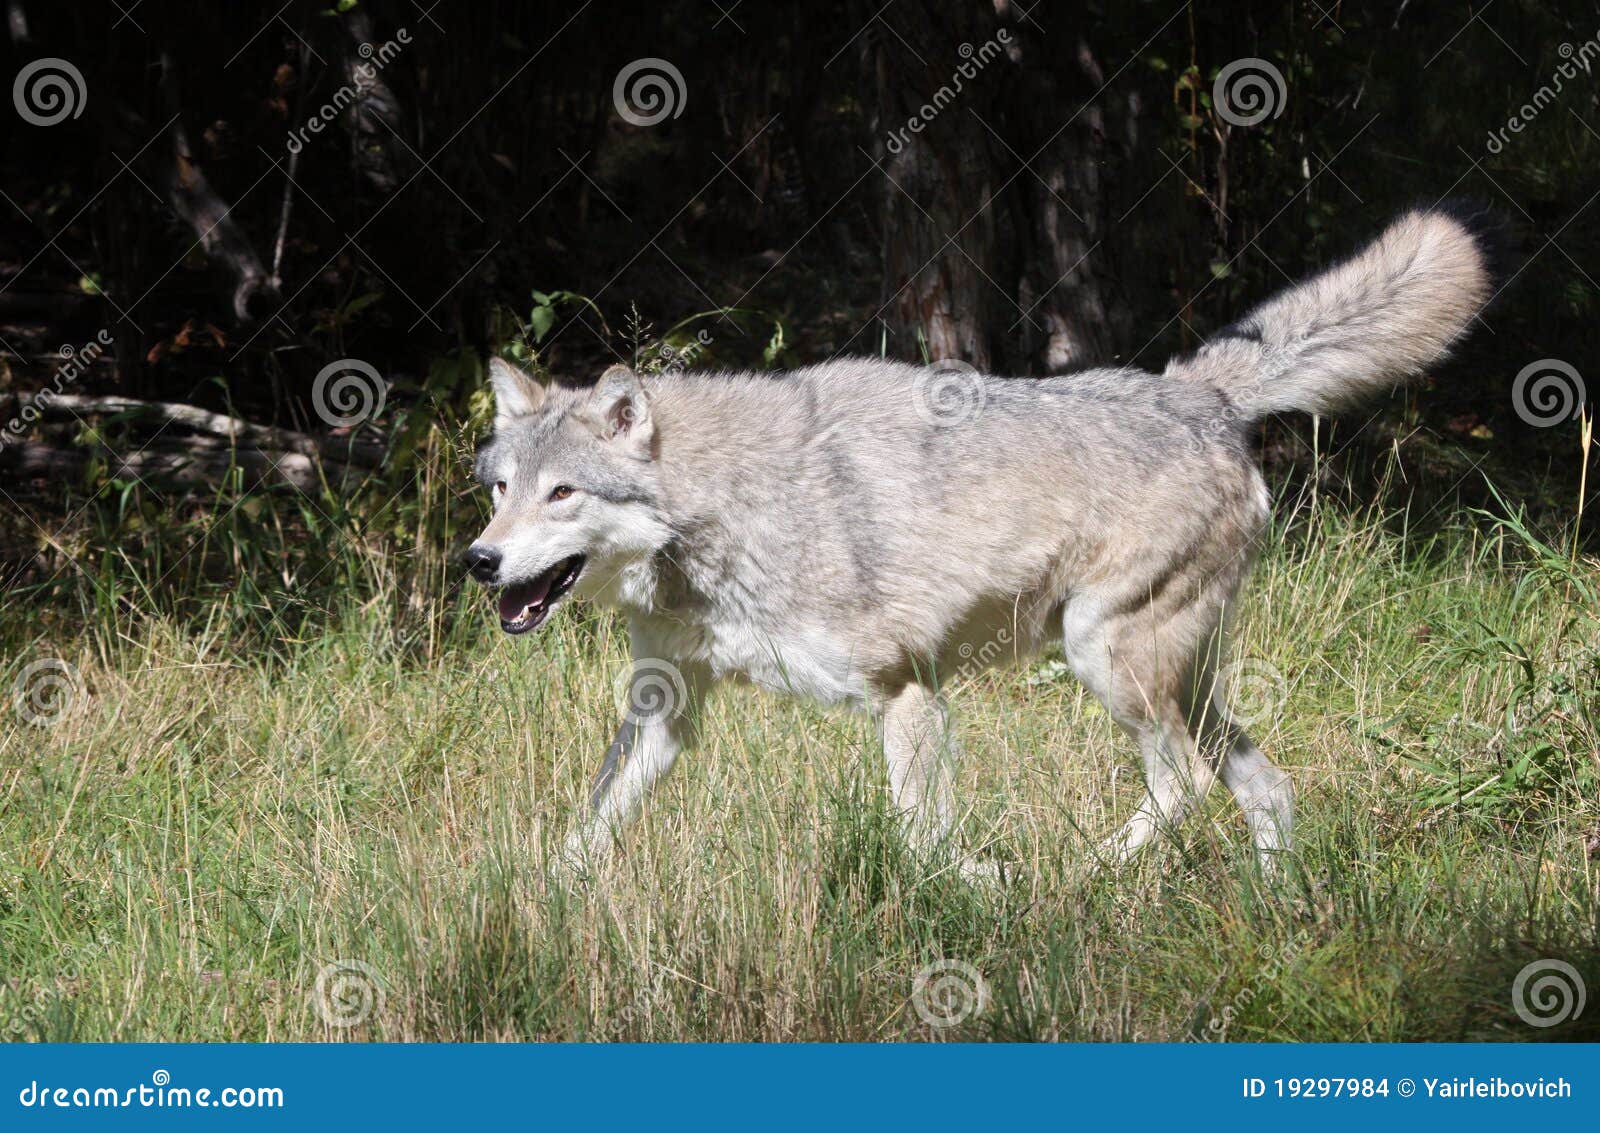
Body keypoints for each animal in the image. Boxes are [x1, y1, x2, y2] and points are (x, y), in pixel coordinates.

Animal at [465, 209, 1491, 878]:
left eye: (562, 493)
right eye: (501, 490)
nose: (477, 561)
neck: (723, 515)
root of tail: (1197, 392)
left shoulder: (907, 692)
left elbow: (924, 848)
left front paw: (960, 907)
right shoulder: (665, 707)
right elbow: (588, 827)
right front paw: (539, 907)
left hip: (1108, 661)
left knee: (1187, 788)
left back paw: (1080, 876)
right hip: (1178, 682)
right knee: (1264, 787)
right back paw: (1280, 909)